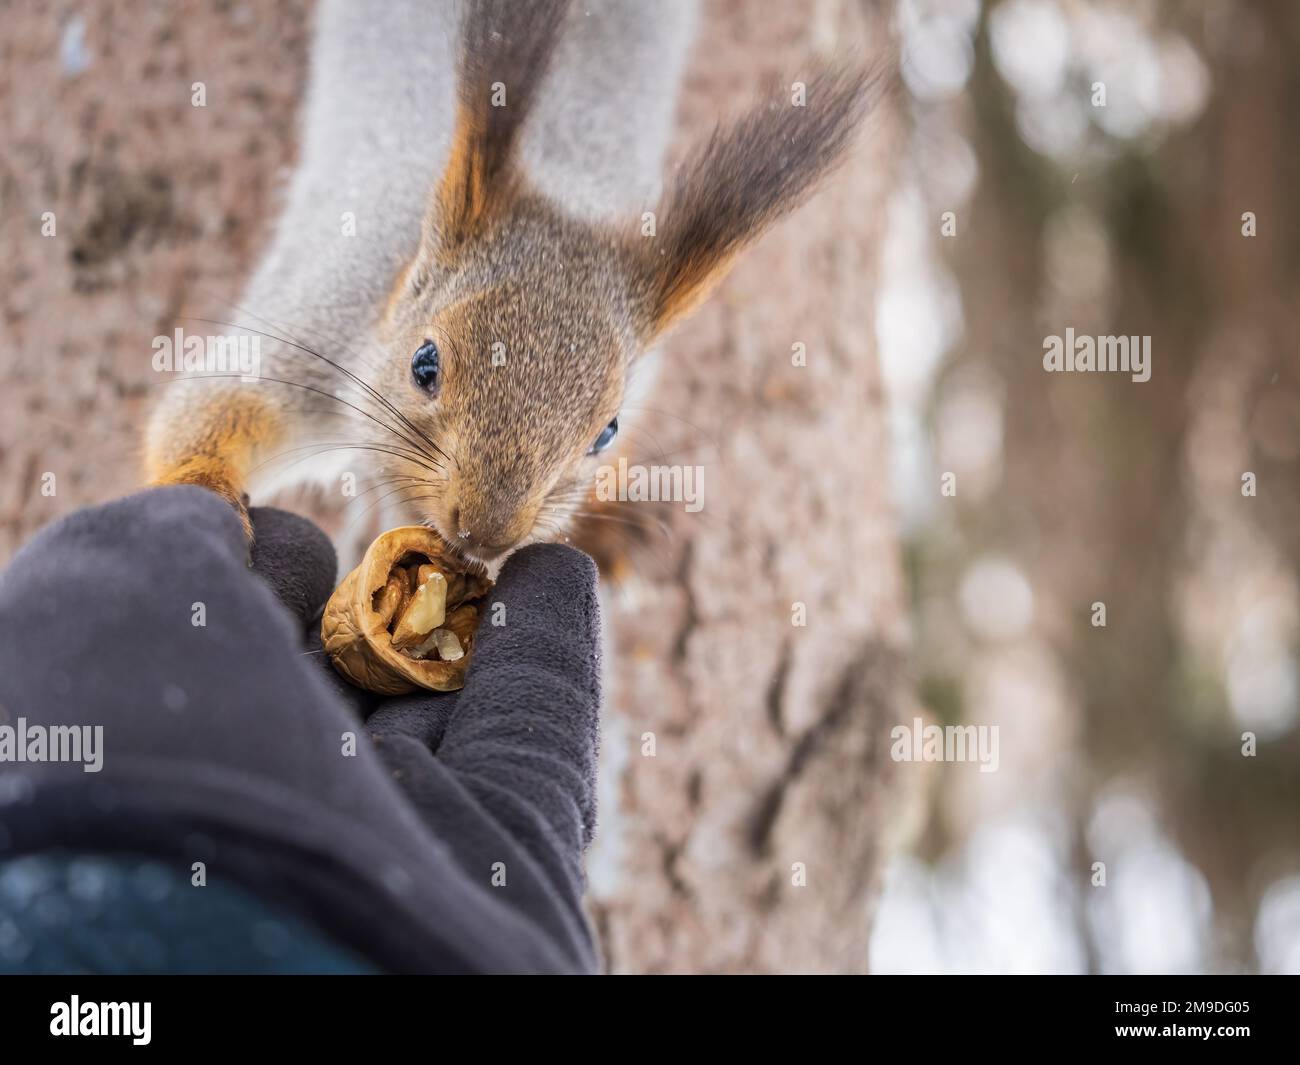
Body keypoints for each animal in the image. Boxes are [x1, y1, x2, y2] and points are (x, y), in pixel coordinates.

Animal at [144, 0, 879, 567]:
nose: (485, 533)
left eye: (607, 432)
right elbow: (216, 405)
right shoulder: (327, 308)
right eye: (424, 364)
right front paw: (205, 497)